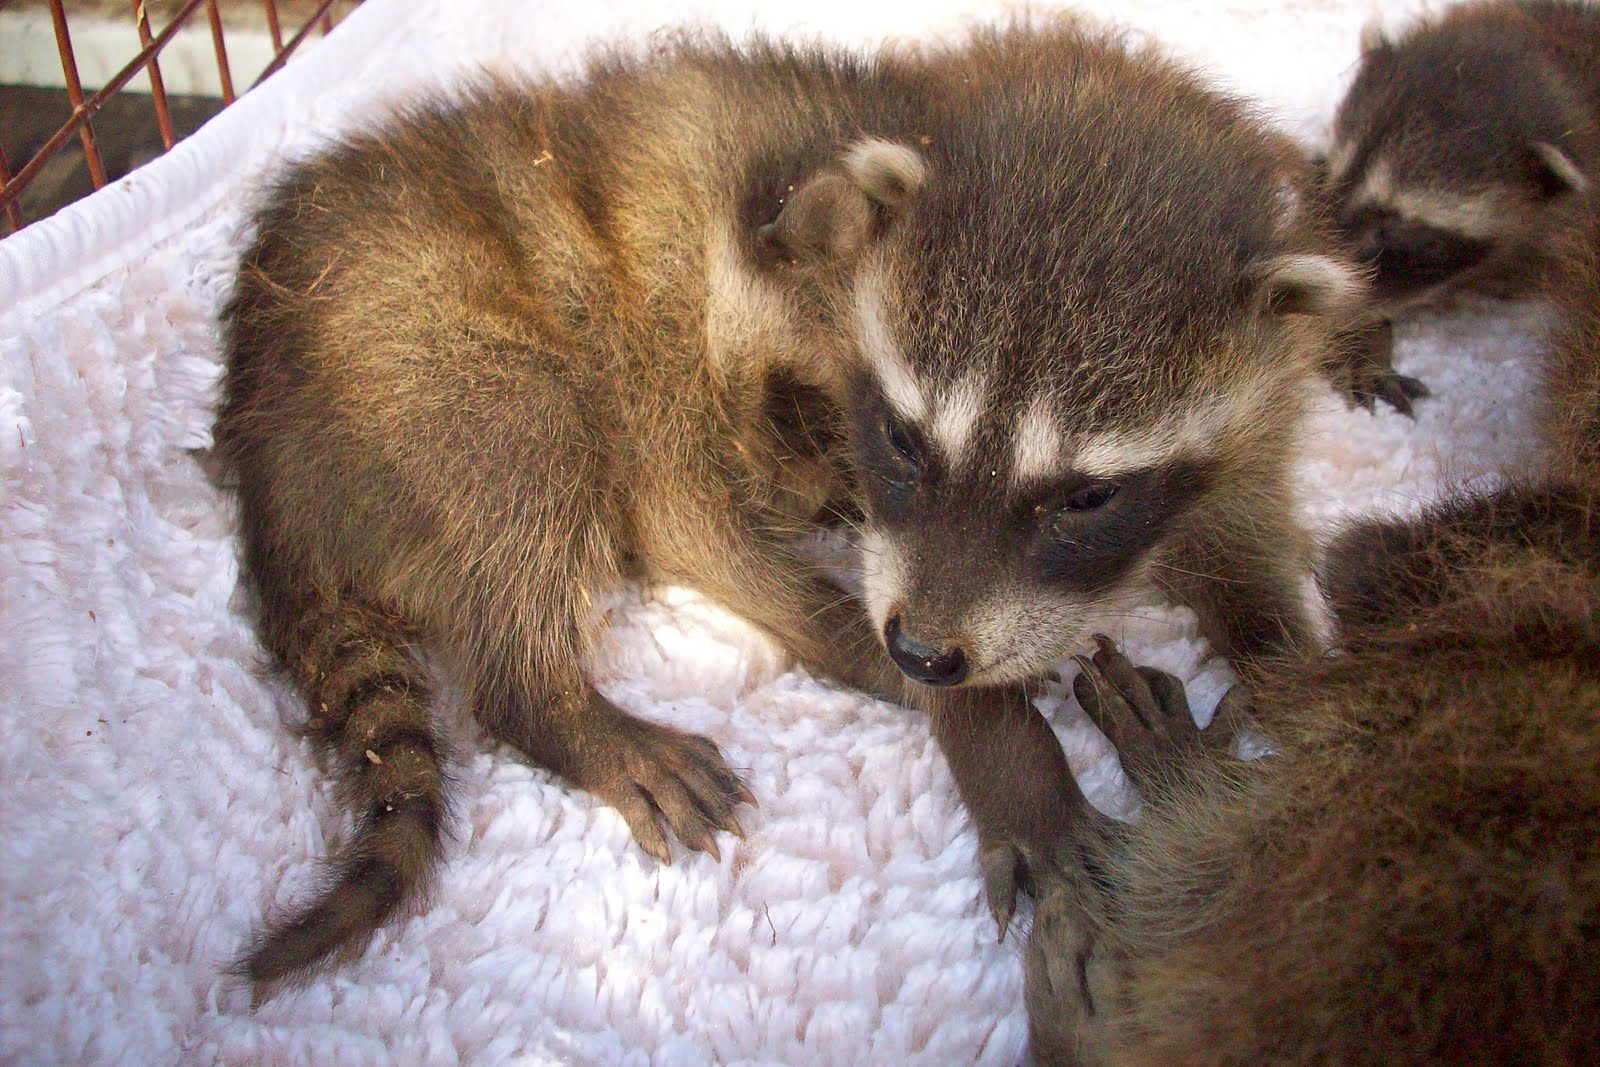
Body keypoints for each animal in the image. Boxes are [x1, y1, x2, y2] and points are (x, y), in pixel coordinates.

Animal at [218, 23, 1362, 991]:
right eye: (903, 439)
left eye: (1086, 496)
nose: (919, 651)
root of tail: (262, 448)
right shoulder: (666, 344)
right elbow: (689, 518)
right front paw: (1007, 752)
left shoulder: (1252, 414)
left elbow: (1249, 541)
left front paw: (1295, 694)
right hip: (410, 343)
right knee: (525, 444)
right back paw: (553, 697)